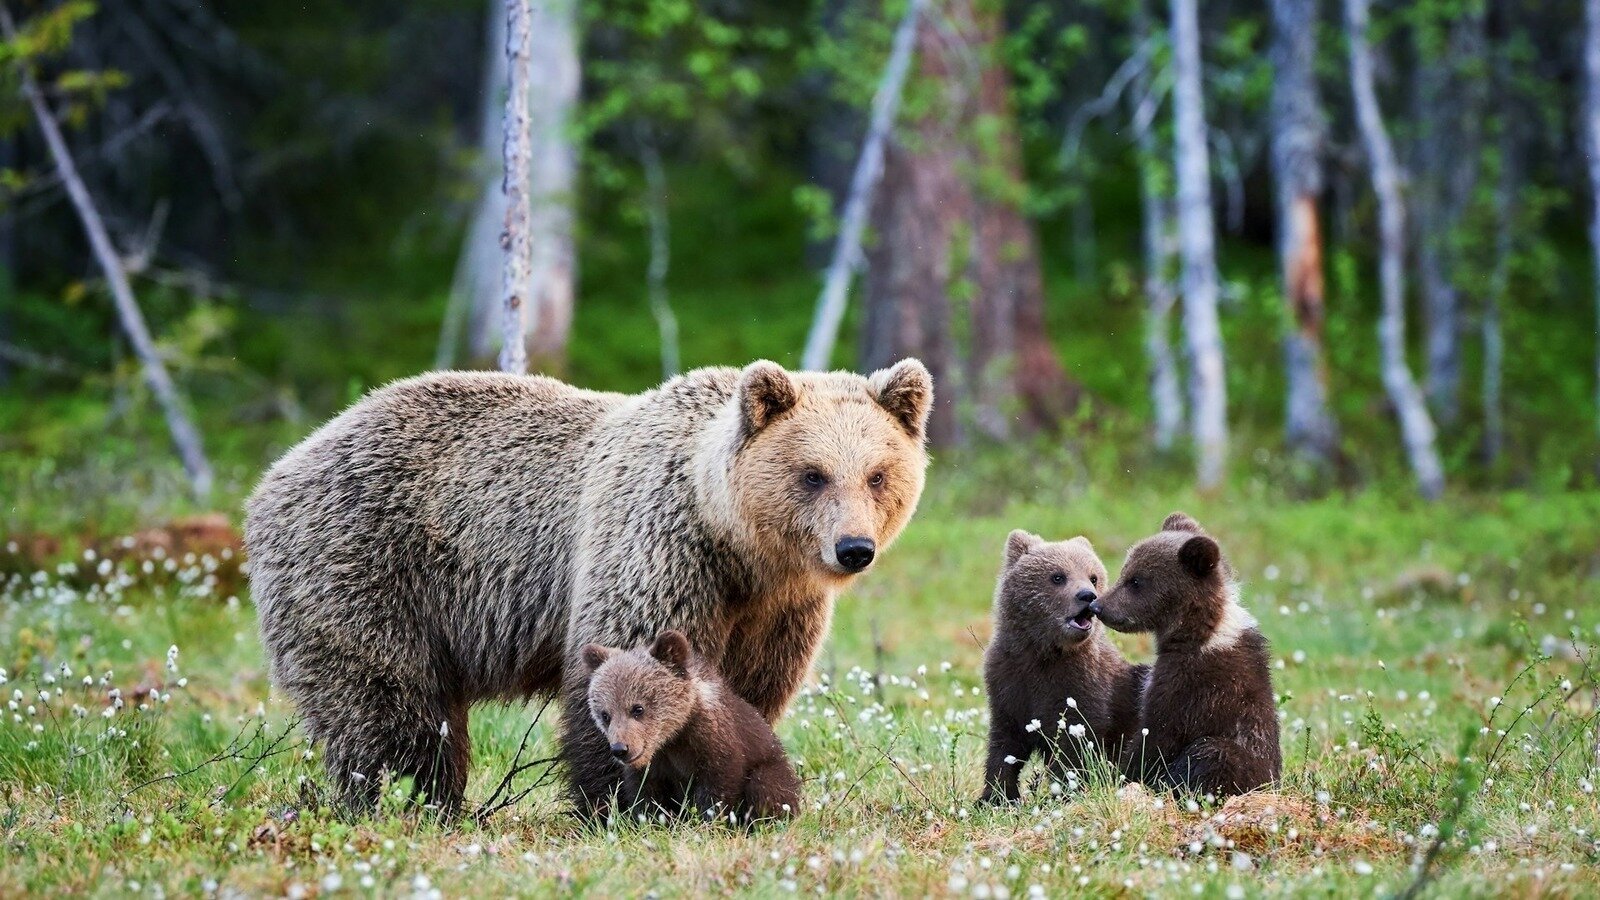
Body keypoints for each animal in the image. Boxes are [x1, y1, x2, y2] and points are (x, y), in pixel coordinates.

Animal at [582, 630, 801, 824]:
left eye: (637, 708)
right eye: (605, 715)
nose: (620, 748)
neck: (673, 737)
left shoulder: (715, 743)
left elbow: (718, 786)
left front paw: (708, 822)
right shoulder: (653, 767)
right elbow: (646, 796)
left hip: (772, 766)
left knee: (766, 785)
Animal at [979, 530, 1149, 804]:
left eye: (1093, 576)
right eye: (1058, 576)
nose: (1087, 595)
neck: (1043, 653)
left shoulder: (1081, 684)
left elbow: (1075, 745)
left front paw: (1062, 791)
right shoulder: (1008, 682)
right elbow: (1005, 742)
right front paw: (995, 796)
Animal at [1088, 512, 1281, 798]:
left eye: (1136, 581)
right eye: (1126, 571)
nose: (1098, 606)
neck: (1197, 634)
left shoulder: (1193, 686)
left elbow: (1158, 735)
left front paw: (1119, 774)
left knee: (1212, 752)